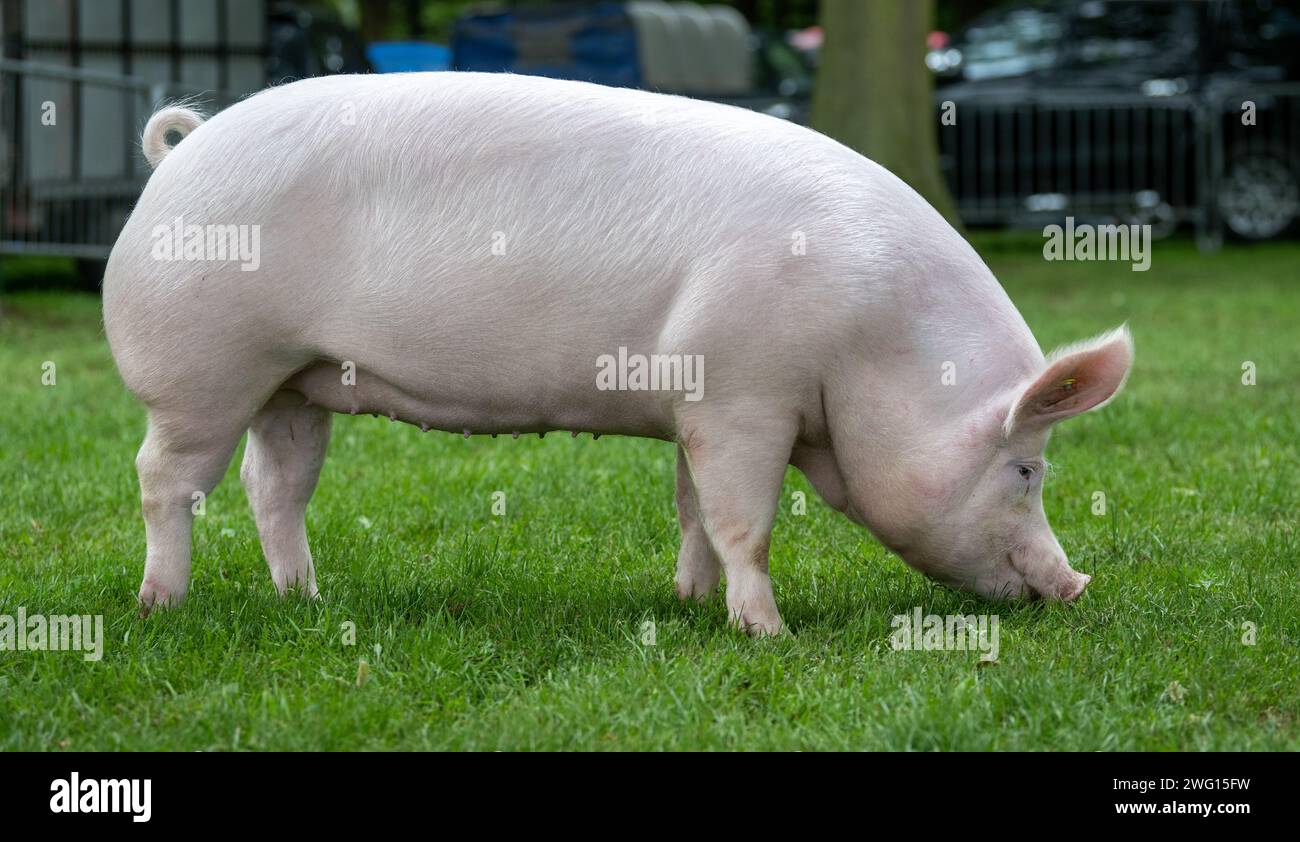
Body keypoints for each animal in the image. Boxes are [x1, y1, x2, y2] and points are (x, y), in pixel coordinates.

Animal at [104, 72, 1133, 635]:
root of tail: (178, 155)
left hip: (295, 380)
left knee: (273, 486)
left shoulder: (694, 400)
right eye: (1029, 470)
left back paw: (307, 603)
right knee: (165, 479)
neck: (876, 346)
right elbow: (745, 521)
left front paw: (687, 606)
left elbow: (692, 511)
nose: (1080, 584)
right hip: (201, 368)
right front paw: (769, 633)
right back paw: (163, 607)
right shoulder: (745, 392)